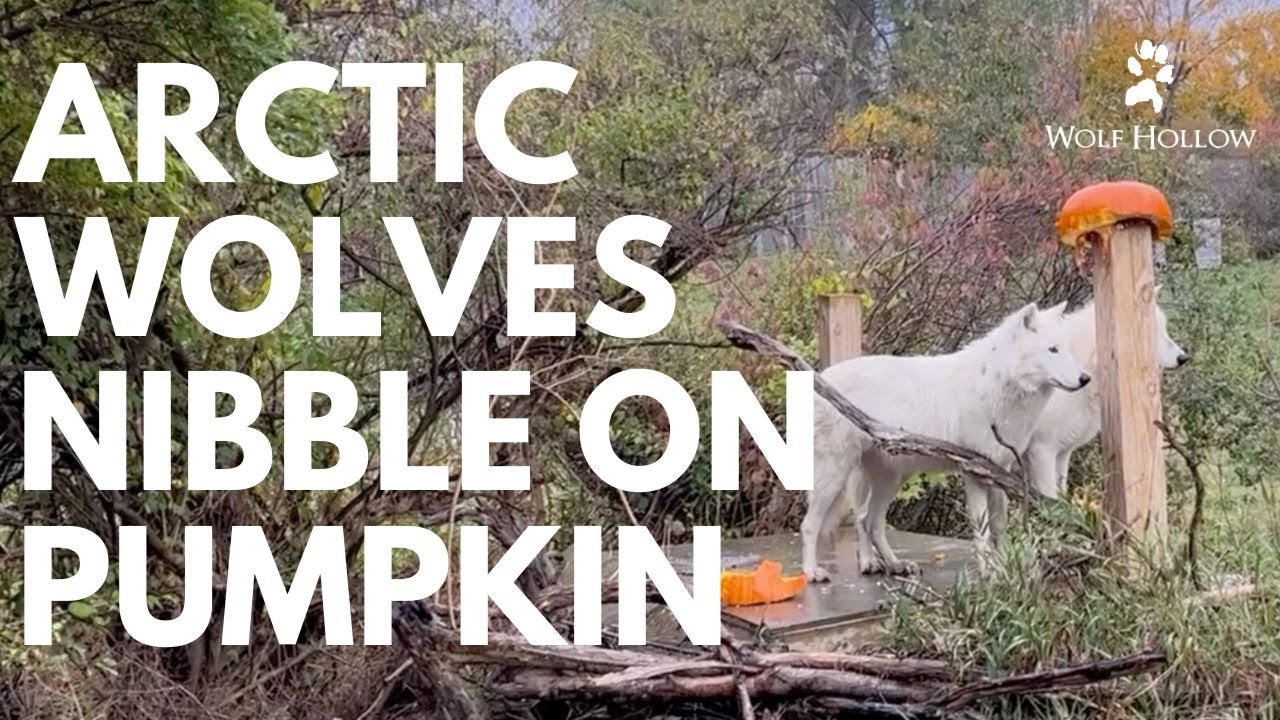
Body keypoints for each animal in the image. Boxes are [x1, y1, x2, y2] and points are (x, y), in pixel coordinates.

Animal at [804, 303, 1091, 581]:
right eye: (1052, 349)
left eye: (1066, 350)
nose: (1085, 378)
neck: (997, 385)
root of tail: (822, 378)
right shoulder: (975, 473)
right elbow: (981, 527)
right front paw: (989, 572)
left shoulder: (1000, 471)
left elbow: (999, 525)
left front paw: (1007, 569)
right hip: (834, 478)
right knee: (811, 525)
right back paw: (812, 572)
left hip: (890, 480)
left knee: (868, 521)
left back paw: (894, 565)